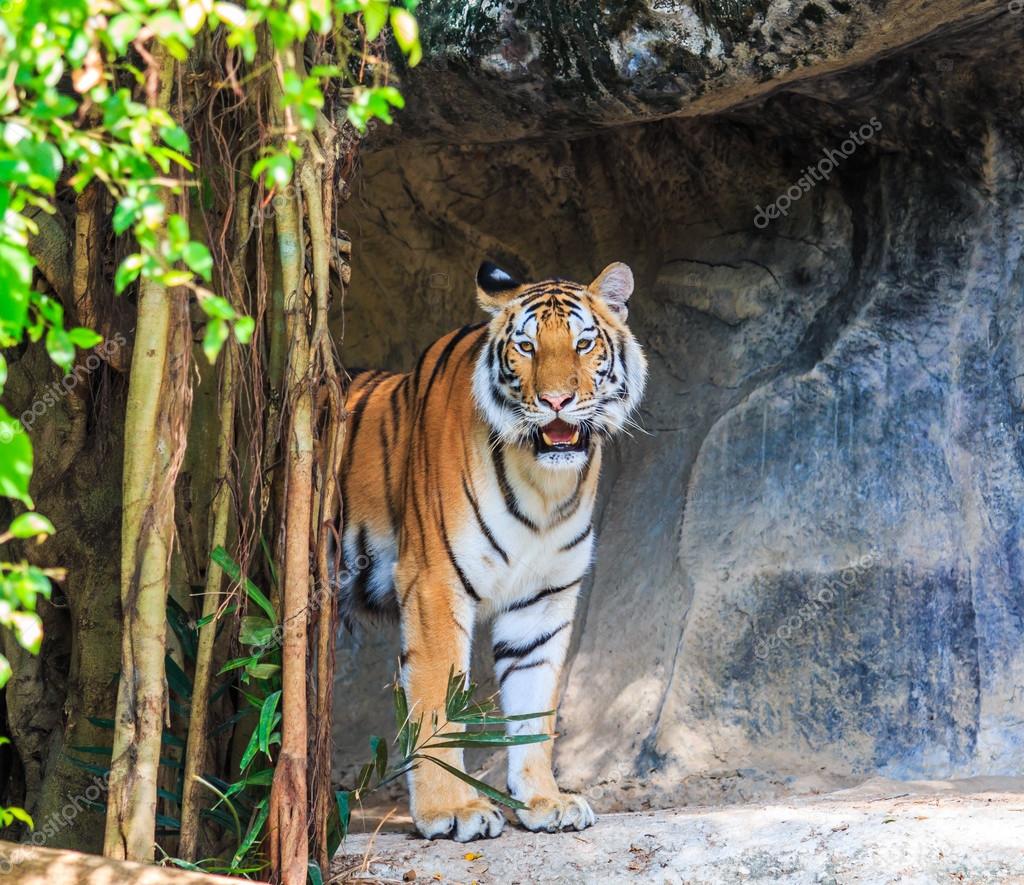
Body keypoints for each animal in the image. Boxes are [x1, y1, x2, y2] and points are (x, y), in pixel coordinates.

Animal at [336, 260, 647, 841]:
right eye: (526, 346)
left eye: (584, 343)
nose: (556, 402)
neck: (544, 485)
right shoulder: (434, 582)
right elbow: (436, 701)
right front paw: (451, 811)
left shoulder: (544, 599)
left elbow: (534, 707)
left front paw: (544, 801)